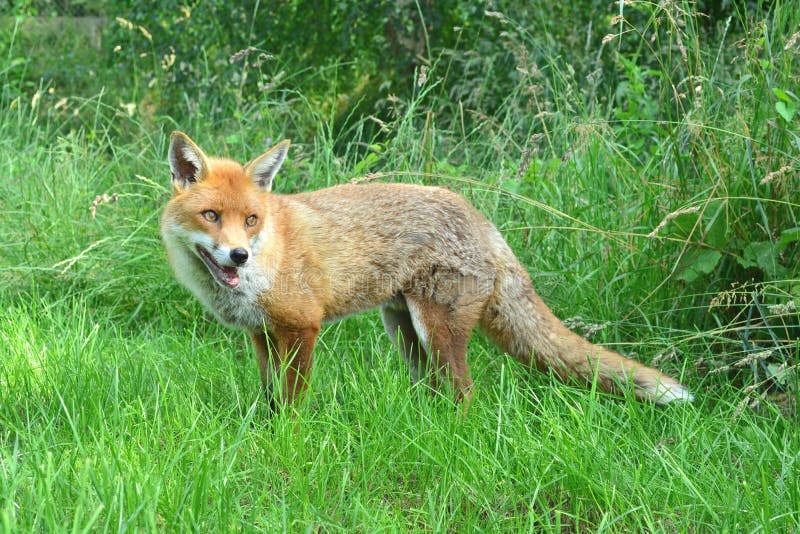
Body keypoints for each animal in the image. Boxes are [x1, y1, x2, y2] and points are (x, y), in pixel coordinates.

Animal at [161, 131, 693, 412]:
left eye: (250, 219)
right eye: (212, 216)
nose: (238, 256)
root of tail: (479, 216)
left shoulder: (300, 327)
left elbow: (292, 401)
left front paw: (287, 439)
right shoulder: (263, 334)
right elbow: (270, 397)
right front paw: (265, 430)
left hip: (436, 330)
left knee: (464, 395)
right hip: (405, 333)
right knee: (434, 391)